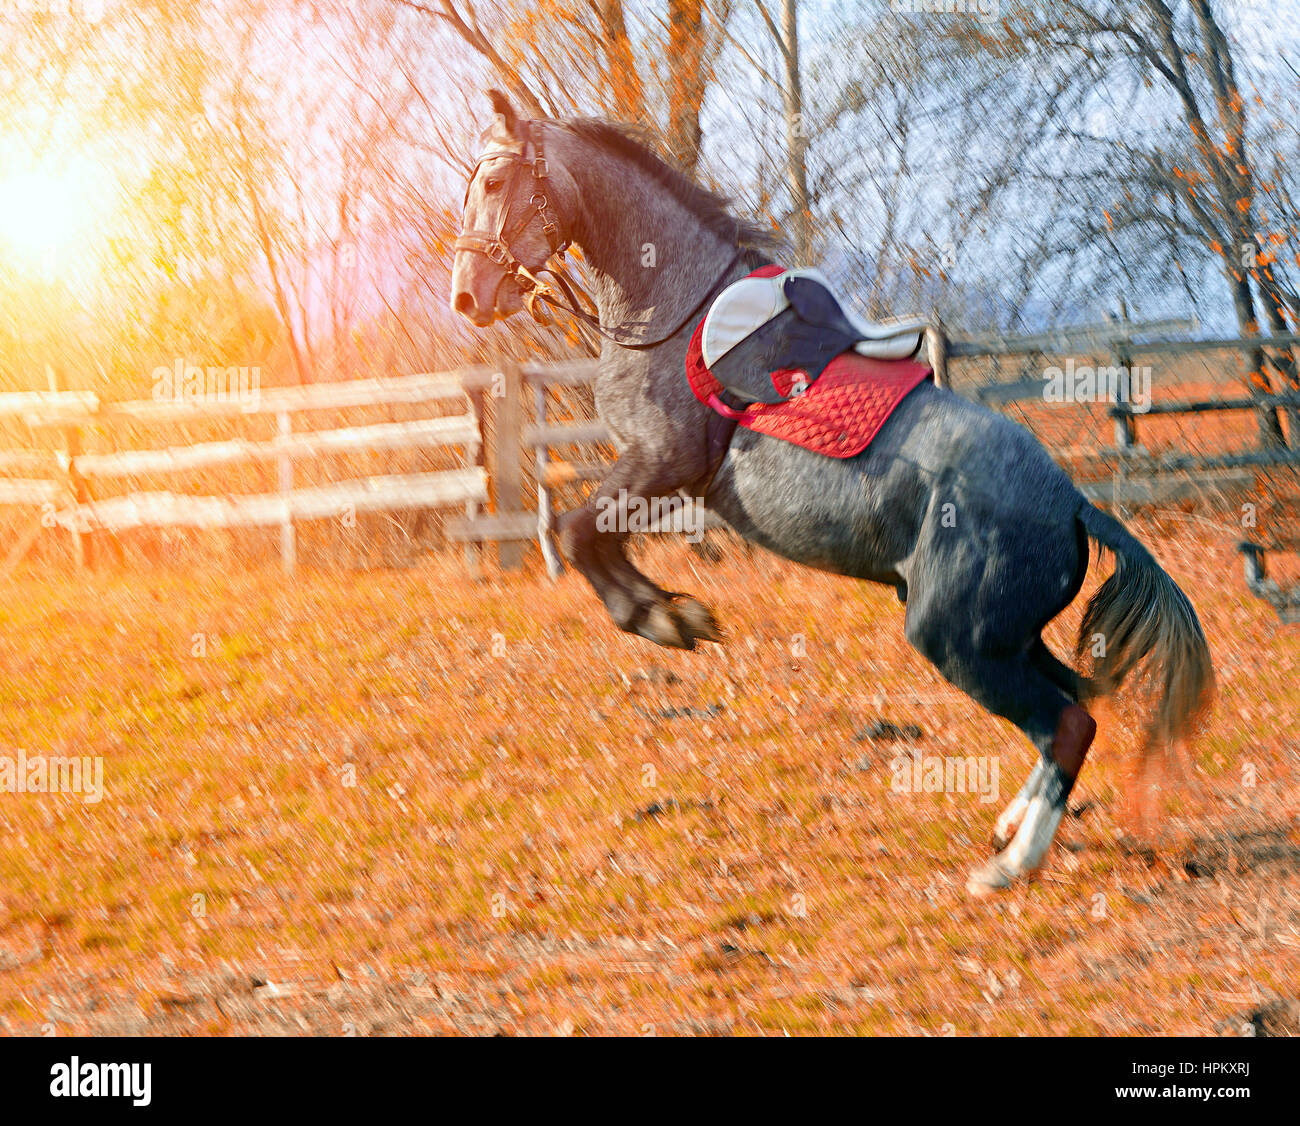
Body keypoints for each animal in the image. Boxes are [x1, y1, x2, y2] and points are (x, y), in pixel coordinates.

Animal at [449, 90, 1214, 894]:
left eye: (494, 182)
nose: (467, 296)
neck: (675, 308)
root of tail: (1075, 505)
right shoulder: (660, 477)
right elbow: (587, 534)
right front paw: (674, 611)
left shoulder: (664, 459)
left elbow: (576, 531)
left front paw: (667, 619)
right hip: (1003, 638)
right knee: (1074, 704)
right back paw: (1012, 827)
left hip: (956, 639)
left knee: (1068, 722)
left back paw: (1010, 863)